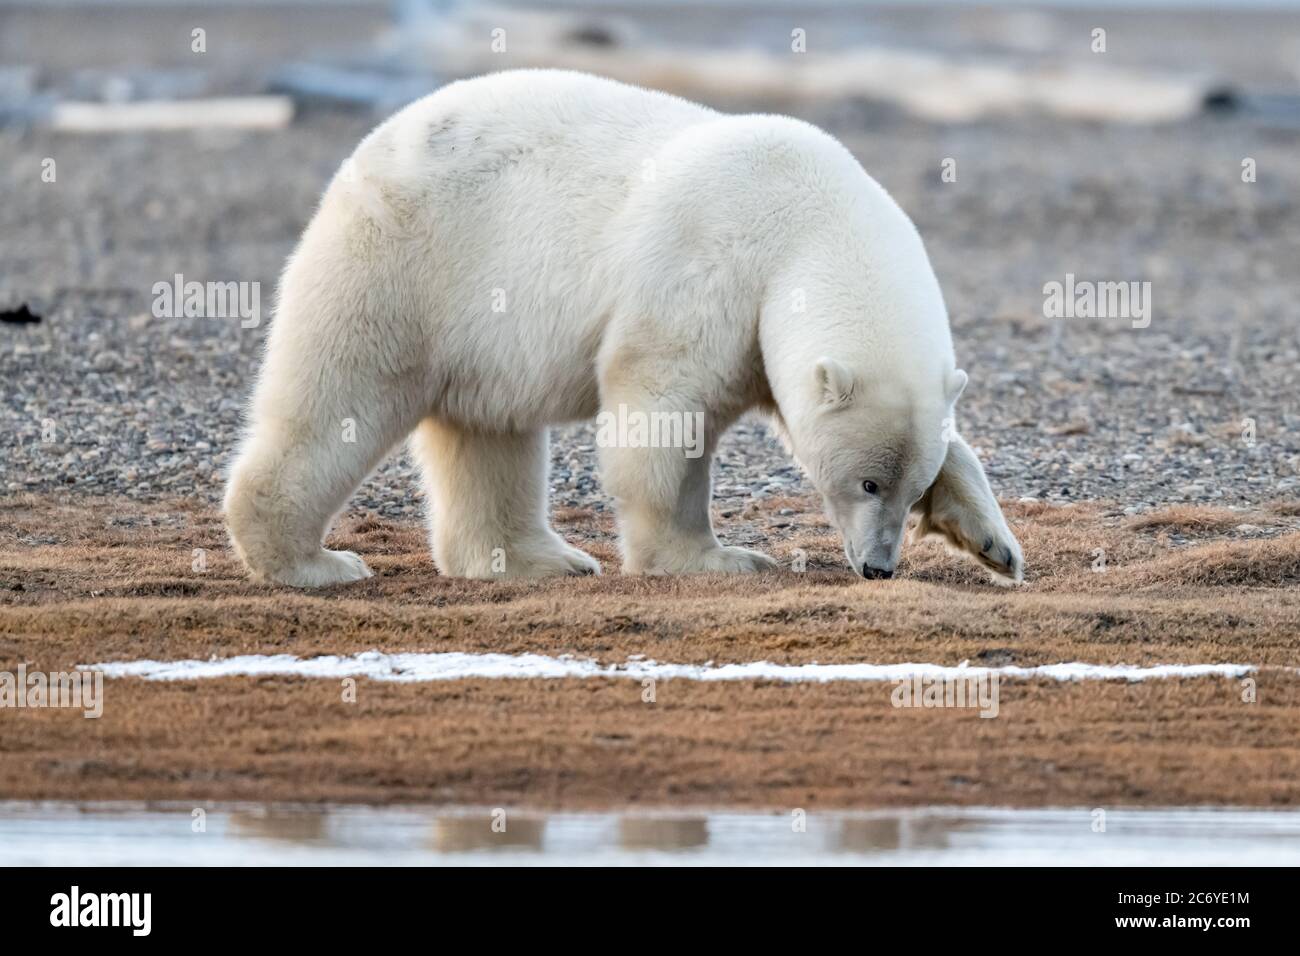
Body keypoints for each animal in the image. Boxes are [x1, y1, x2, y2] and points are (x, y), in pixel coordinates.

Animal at [224, 69, 1023, 587]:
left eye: (909, 491)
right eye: (866, 483)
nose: (878, 568)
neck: (810, 221)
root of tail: (372, 146)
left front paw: (996, 545)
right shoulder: (710, 266)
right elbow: (664, 411)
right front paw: (715, 559)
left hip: (475, 319)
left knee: (489, 431)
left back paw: (537, 559)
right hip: (402, 265)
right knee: (340, 397)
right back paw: (313, 563)